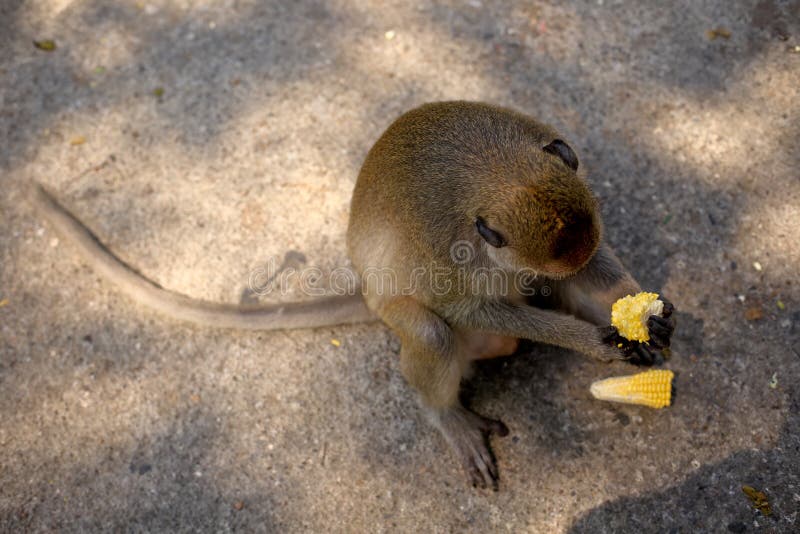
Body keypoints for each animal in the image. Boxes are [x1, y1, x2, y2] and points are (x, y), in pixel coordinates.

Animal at [30, 101, 675, 490]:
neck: (498, 170)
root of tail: (367, 291)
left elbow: (588, 268)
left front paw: (645, 312)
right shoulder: (450, 248)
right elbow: (464, 306)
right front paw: (591, 342)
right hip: (394, 307)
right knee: (434, 330)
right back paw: (446, 413)